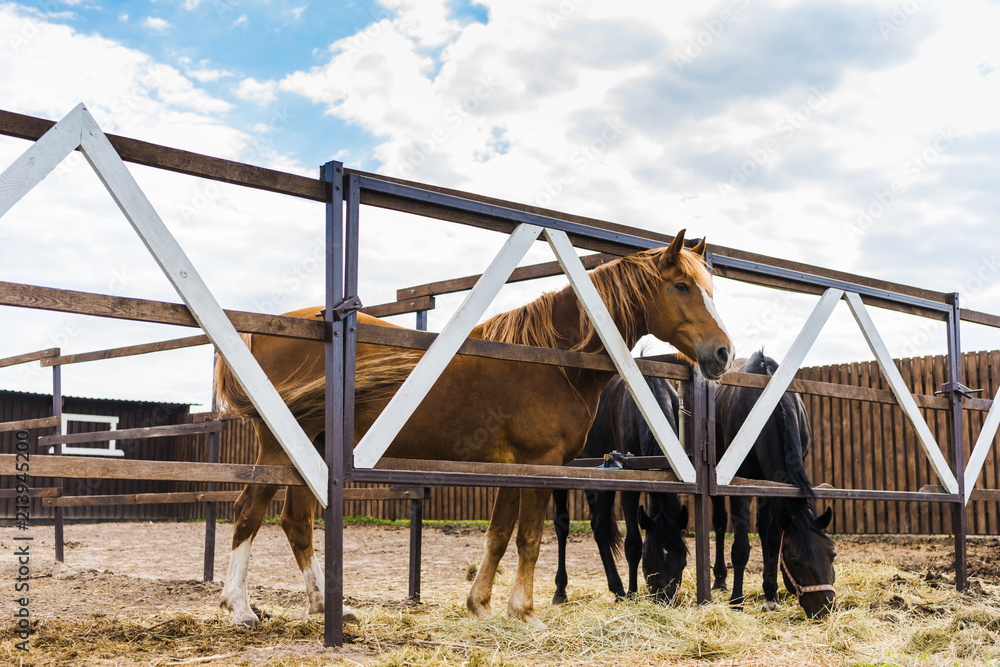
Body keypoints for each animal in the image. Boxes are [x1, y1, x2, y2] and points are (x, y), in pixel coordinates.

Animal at [552, 360, 689, 605]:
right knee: (563, 525)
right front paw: (633, 592)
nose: (664, 599)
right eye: (649, 560)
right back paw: (561, 590)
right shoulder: (628, 485)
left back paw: (616, 588)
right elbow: (633, 542)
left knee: (599, 526)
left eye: (682, 561)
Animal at [712, 351, 836, 619]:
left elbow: (771, 537)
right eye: (795, 560)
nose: (825, 608)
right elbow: (740, 547)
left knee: (763, 525)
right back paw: (719, 580)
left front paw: (770, 595)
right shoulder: (740, 486)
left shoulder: (772, 485)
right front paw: (736, 600)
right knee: (719, 522)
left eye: (832, 553)